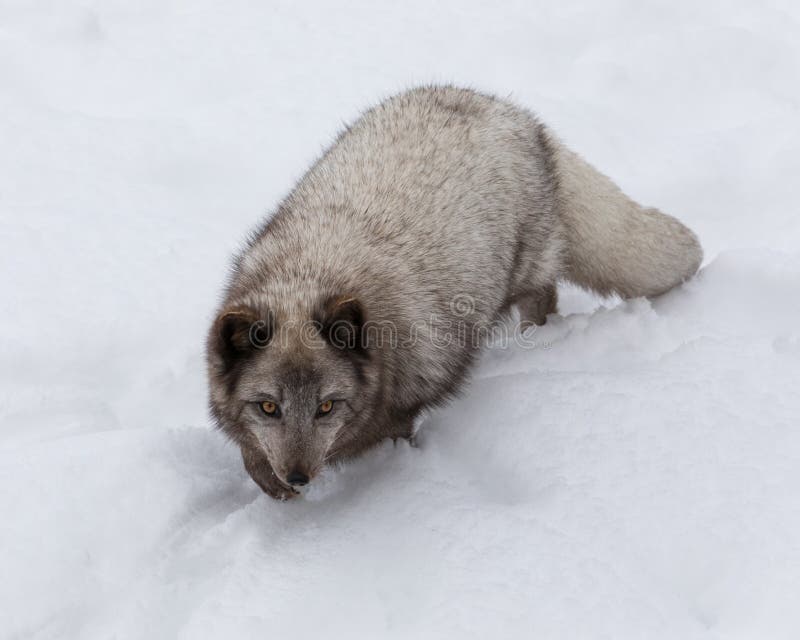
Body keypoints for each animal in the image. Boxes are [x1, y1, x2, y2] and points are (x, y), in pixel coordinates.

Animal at [206, 85, 702, 500]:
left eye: (326, 407)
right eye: (268, 407)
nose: (298, 477)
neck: (311, 274)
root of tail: (522, 118)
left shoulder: (402, 407)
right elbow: (250, 456)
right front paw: (271, 487)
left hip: (526, 266)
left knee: (543, 295)